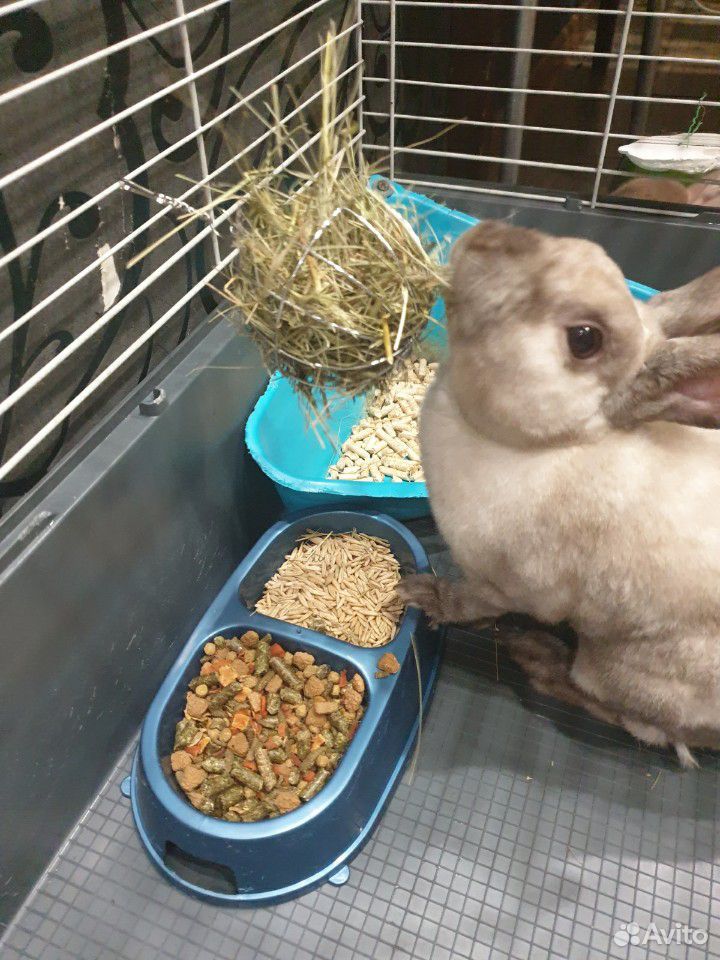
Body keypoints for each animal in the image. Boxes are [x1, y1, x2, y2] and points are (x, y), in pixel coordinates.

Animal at [398, 220, 720, 767]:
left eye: (584, 339)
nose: (488, 235)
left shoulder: (503, 585)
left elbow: (467, 603)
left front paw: (419, 595)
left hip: (619, 668)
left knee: (637, 723)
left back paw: (537, 658)